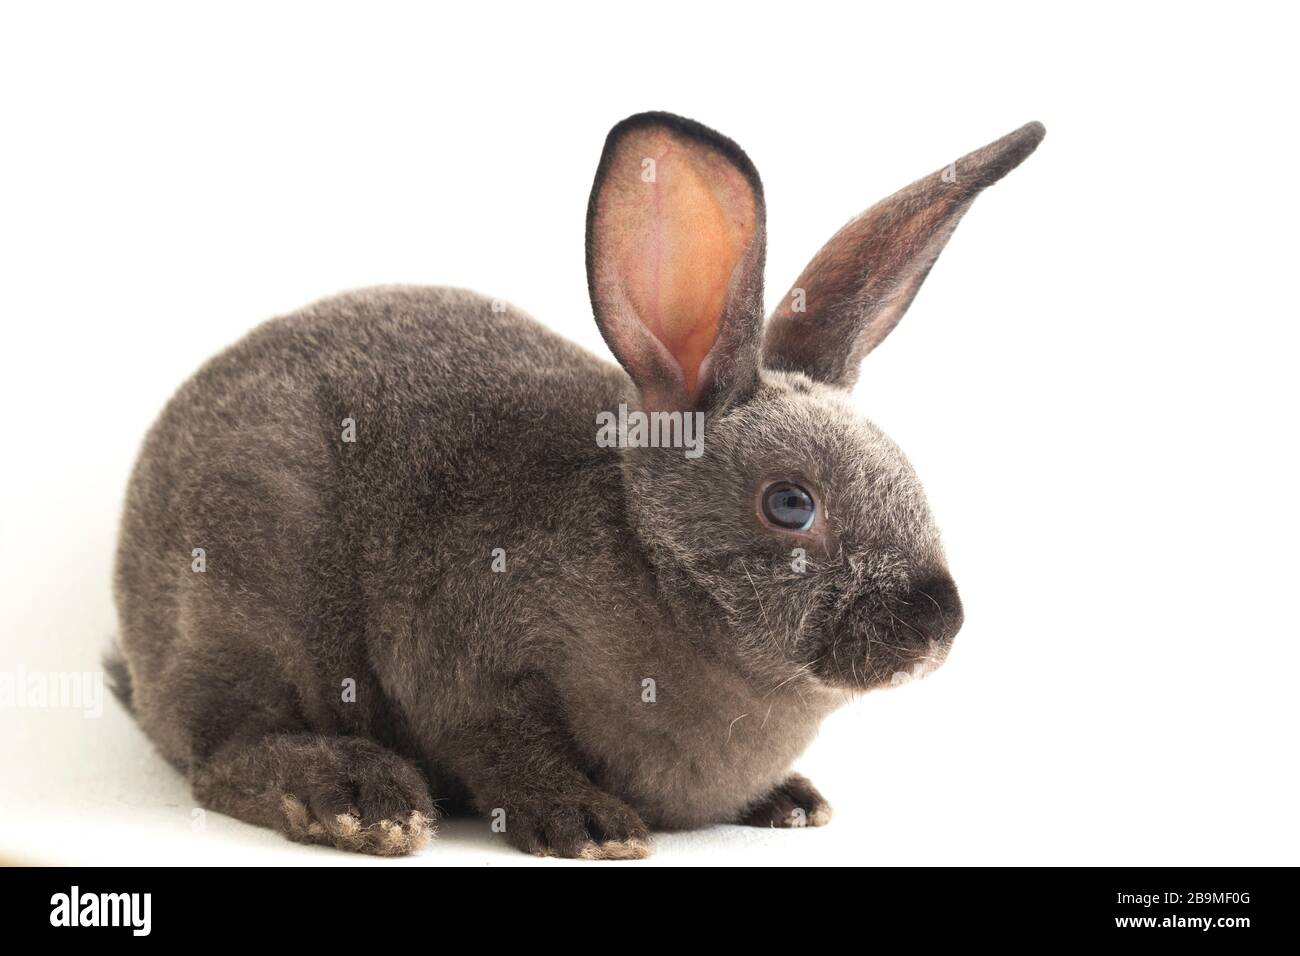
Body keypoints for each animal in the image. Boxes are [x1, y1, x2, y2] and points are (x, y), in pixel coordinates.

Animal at [109, 111, 1044, 859]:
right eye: (790, 503)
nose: (939, 624)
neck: (657, 576)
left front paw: (788, 800)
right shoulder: (467, 663)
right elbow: (506, 745)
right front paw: (589, 825)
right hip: (255, 591)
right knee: (221, 754)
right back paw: (361, 799)